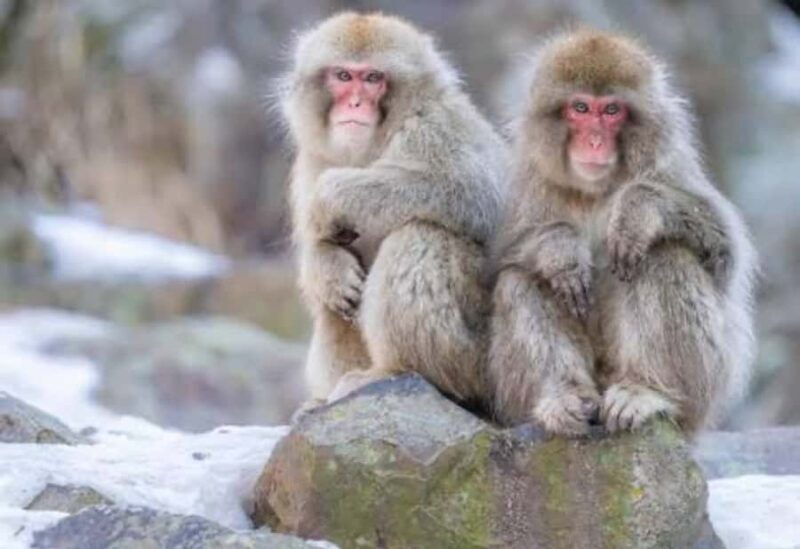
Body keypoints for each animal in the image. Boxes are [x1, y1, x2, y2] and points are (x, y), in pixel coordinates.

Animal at [280, 13, 507, 410]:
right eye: (343, 76)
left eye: (373, 78)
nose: (355, 104)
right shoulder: (313, 159)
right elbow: (323, 250)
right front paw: (325, 265)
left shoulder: (434, 126)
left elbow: (479, 195)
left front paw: (331, 196)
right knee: (331, 307)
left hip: (483, 358)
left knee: (420, 234)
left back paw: (395, 371)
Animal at [488, 29, 756, 436]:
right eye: (580, 108)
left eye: (612, 111)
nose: (595, 140)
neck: (595, 189)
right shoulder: (528, 181)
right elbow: (500, 259)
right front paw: (559, 251)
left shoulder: (670, 164)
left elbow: (724, 250)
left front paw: (638, 211)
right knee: (520, 280)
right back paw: (565, 396)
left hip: (705, 390)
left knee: (663, 255)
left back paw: (647, 389)